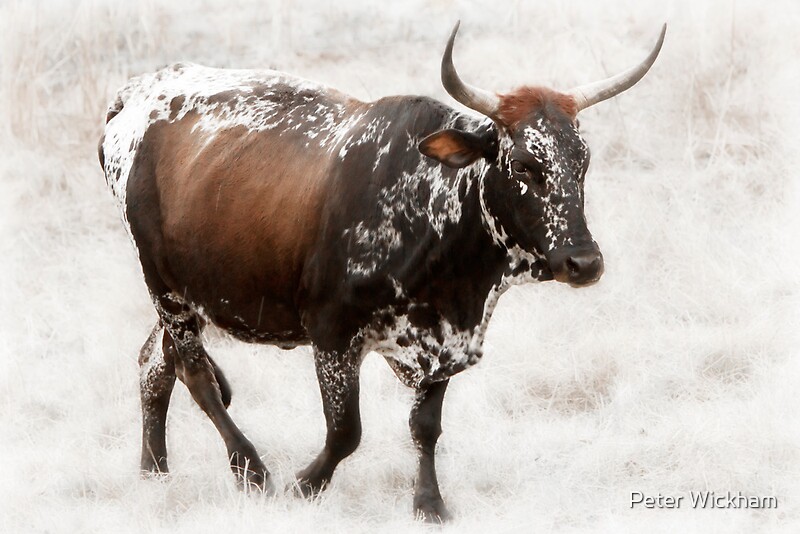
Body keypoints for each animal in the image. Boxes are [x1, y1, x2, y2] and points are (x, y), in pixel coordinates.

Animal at [99, 22, 665, 522]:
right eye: (525, 164)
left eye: (583, 162)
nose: (584, 262)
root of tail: (133, 94)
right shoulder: (332, 335)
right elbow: (345, 431)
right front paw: (305, 486)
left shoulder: (445, 342)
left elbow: (426, 427)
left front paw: (429, 503)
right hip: (165, 287)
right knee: (196, 376)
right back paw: (250, 469)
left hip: (190, 294)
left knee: (154, 365)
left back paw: (155, 471)